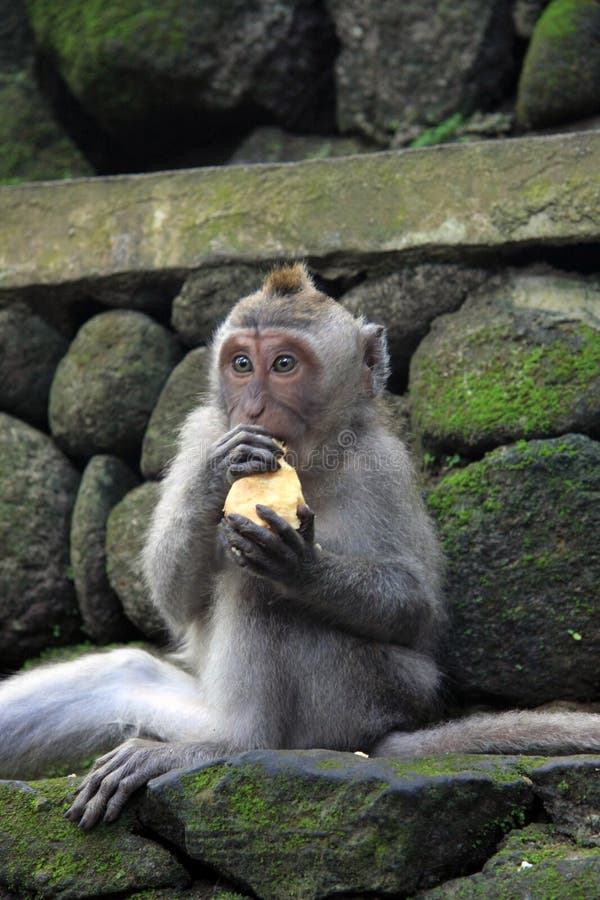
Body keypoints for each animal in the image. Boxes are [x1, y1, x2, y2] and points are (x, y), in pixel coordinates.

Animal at [1, 262, 599, 830]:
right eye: (242, 364)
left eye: (284, 364)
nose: (253, 410)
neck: (309, 460)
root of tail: (378, 736)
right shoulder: (200, 432)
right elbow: (175, 603)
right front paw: (220, 473)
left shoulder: (384, 466)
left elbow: (414, 607)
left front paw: (301, 568)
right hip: (200, 704)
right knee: (126, 671)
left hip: (369, 697)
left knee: (258, 592)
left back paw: (235, 744)